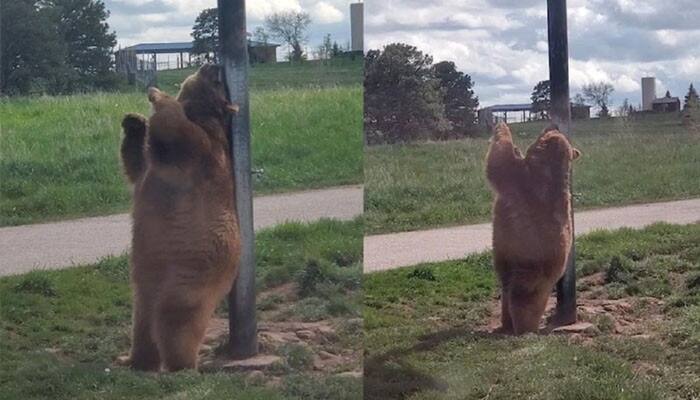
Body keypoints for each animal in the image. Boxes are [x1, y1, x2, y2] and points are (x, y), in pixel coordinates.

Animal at [117, 65, 240, 371]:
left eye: (219, 82)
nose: (213, 65)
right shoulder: (153, 165)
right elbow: (137, 165)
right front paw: (133, 122)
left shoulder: (205, 153)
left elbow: (180, 130)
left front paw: (156, 94)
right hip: (145, 292)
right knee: (141, 325)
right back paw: (132, 359)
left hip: (186, 285)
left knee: (174, 325)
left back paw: (179, 365)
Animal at [485, 121, 581, 335]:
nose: (553, 124)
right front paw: (516, 147)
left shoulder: (525, 181)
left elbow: (500, 165)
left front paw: (502, 125)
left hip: (529, 270)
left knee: (519, 299)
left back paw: (520, 328)